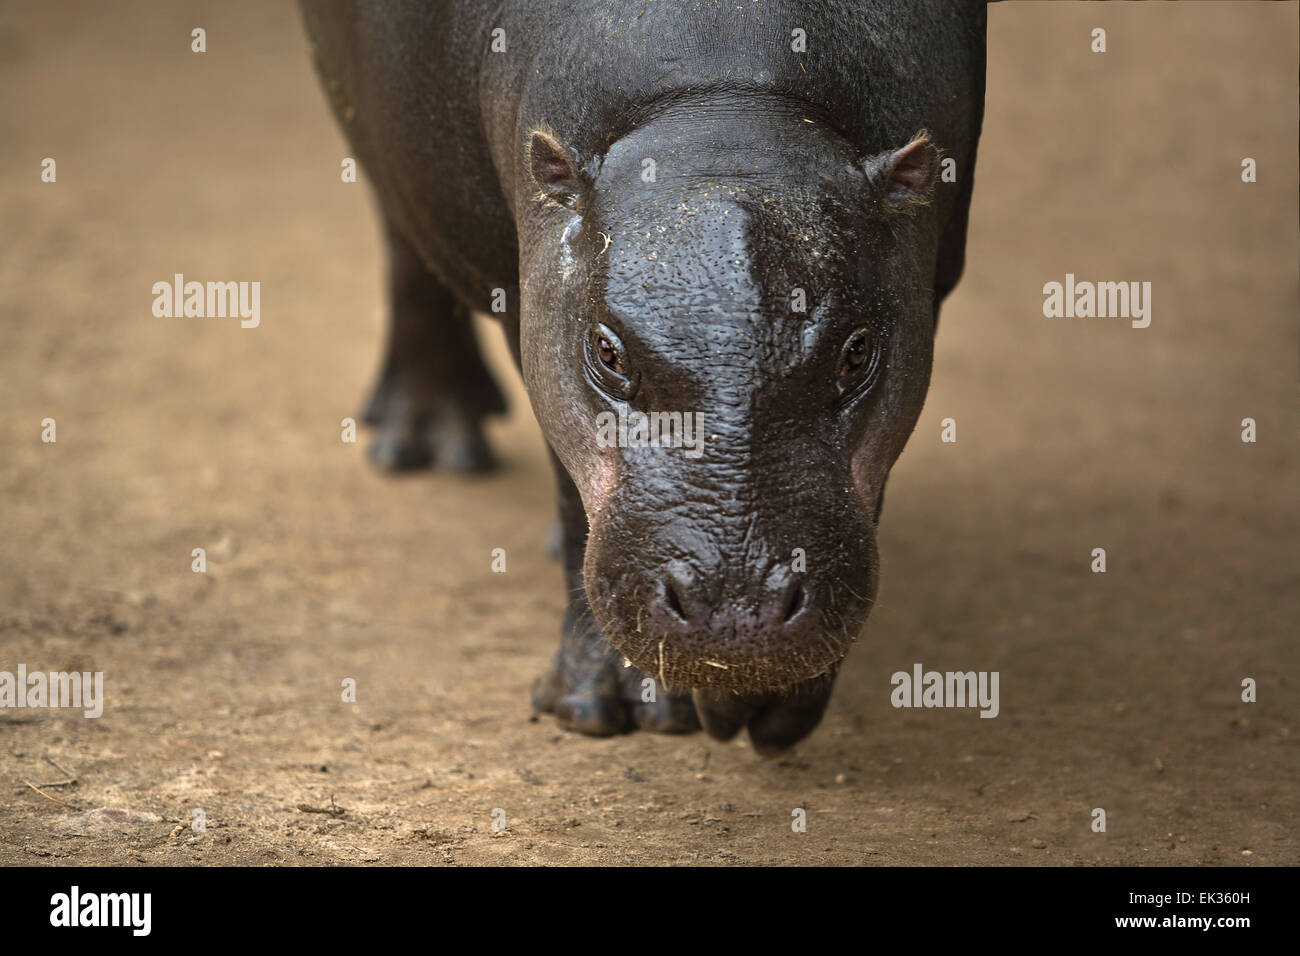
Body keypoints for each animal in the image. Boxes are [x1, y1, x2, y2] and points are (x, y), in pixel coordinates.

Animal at [300, 0, 988, 754]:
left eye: (858, 352)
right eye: (607, 354)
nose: (738, 615)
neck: (725, 107)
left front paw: (766, 702)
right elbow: (571, 490)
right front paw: (605, 707)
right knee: (402, 234)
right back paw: (425, 446)